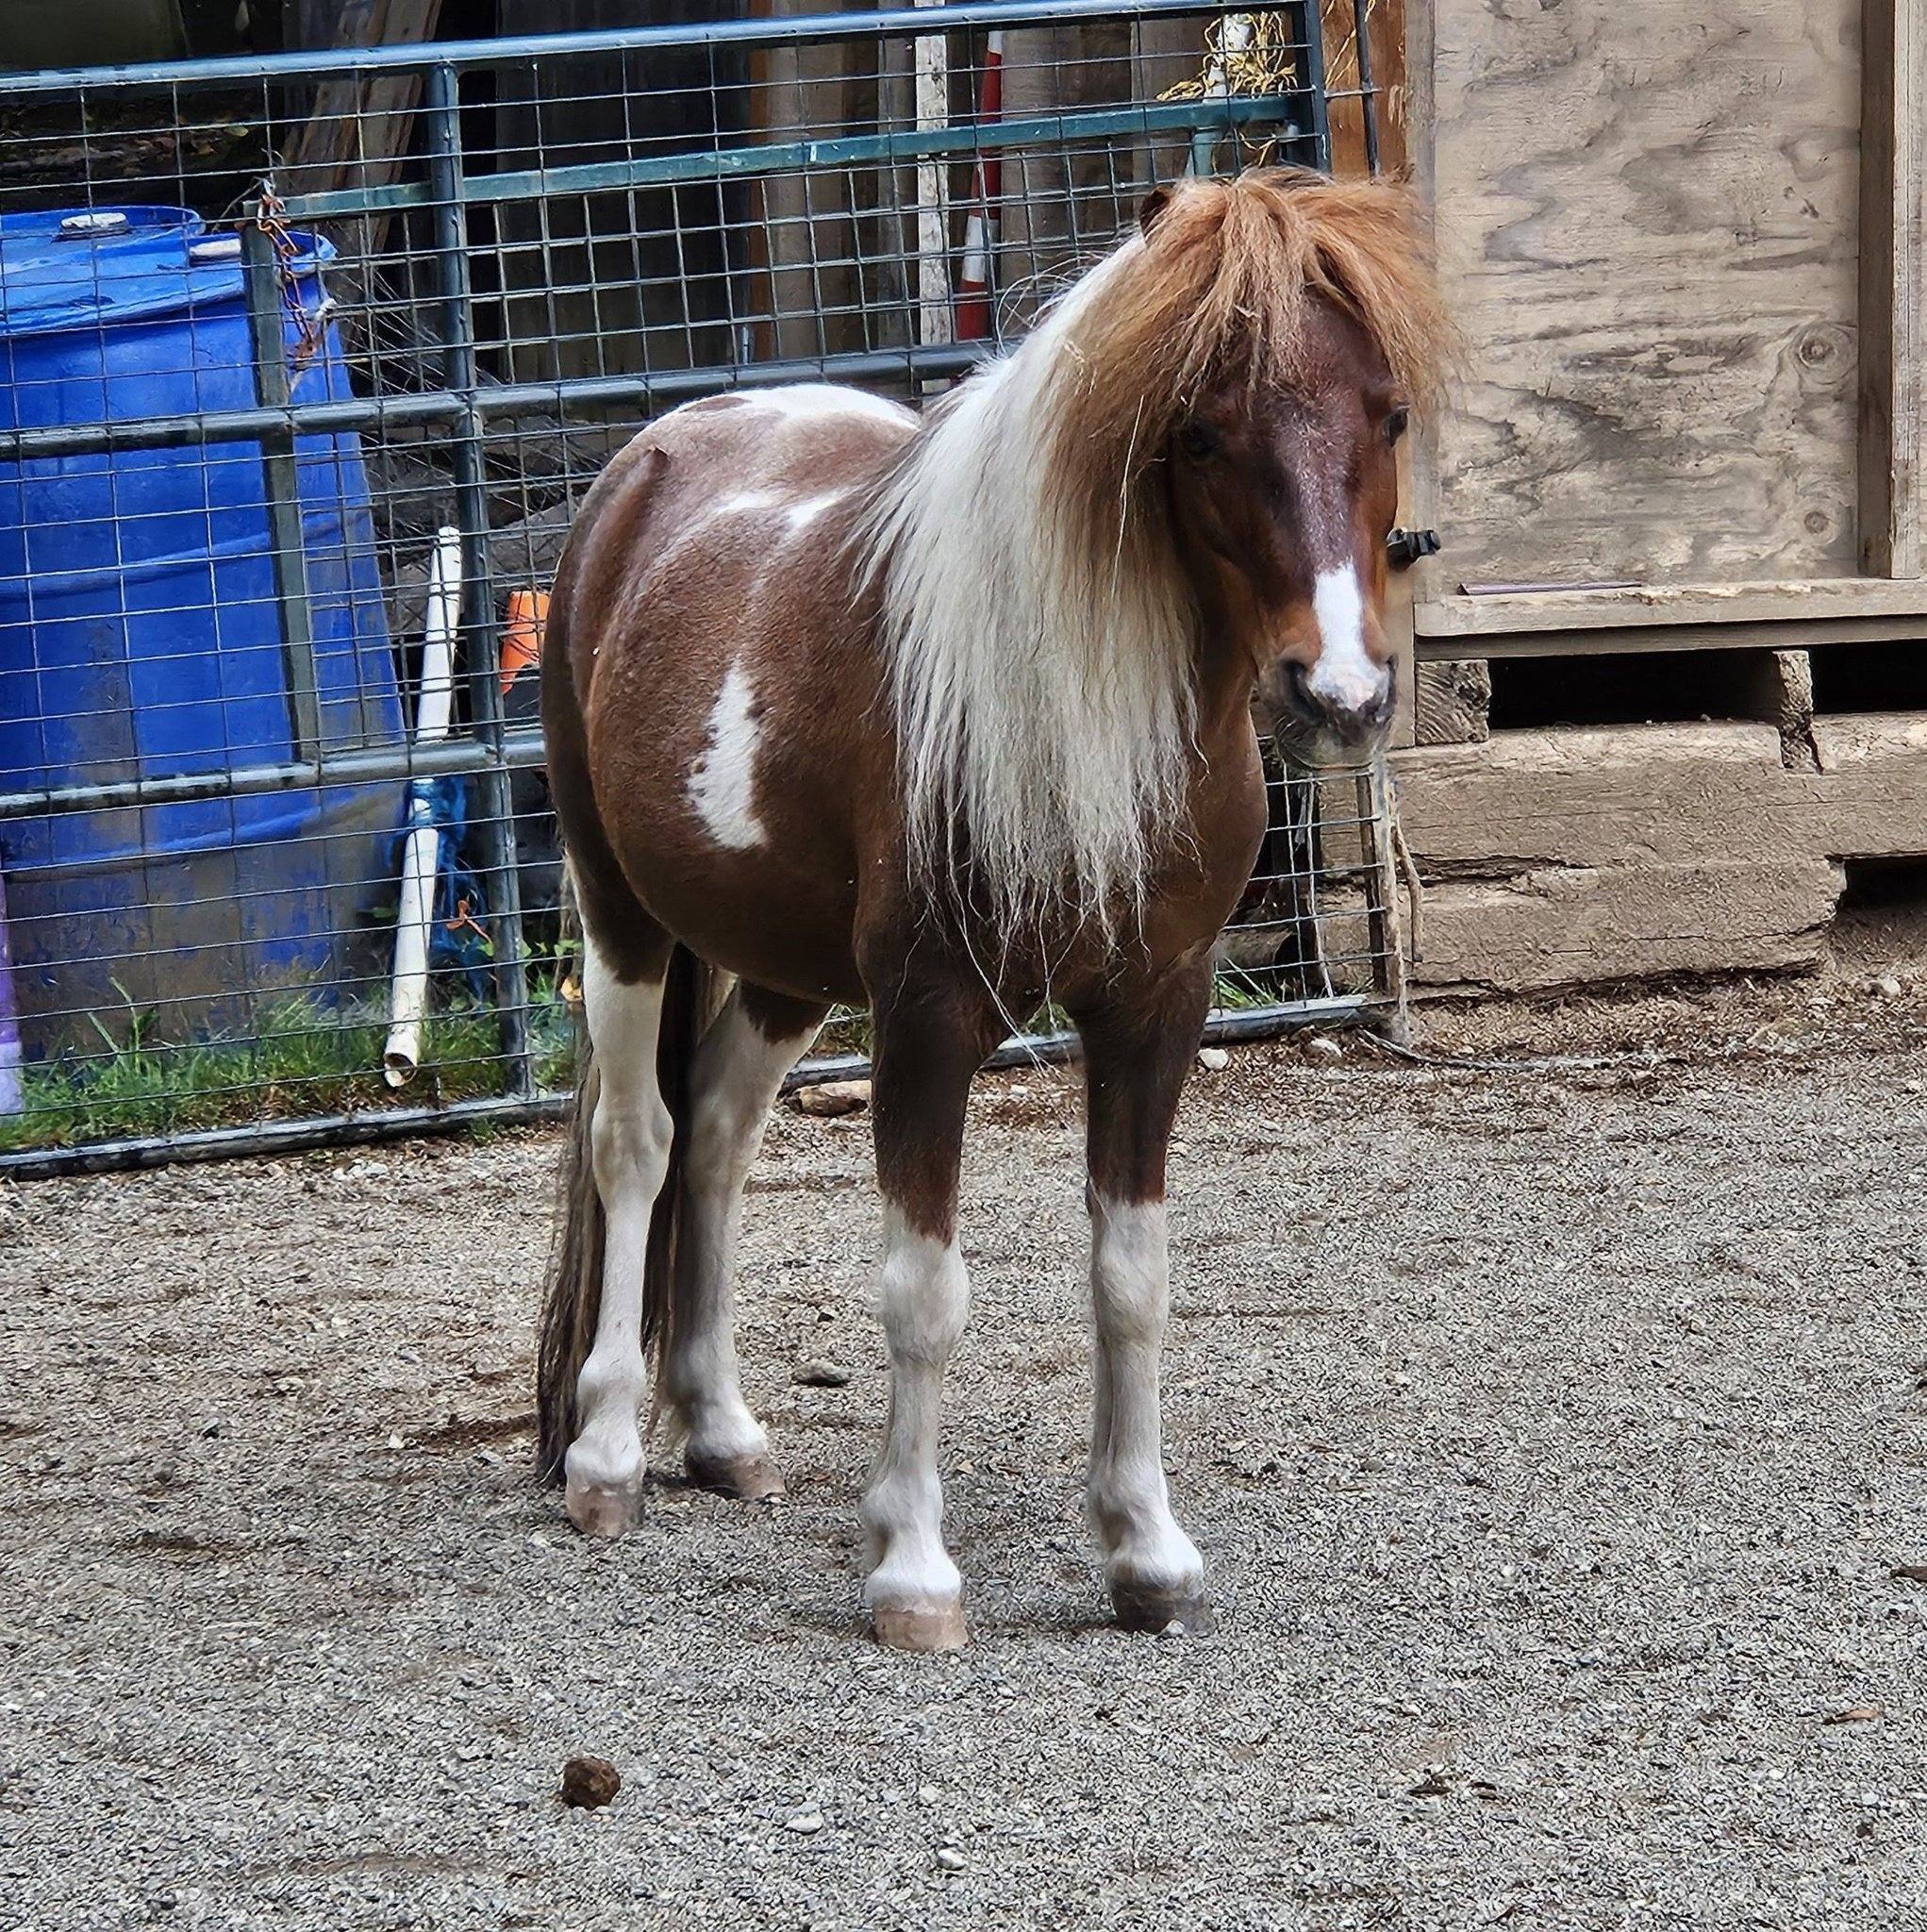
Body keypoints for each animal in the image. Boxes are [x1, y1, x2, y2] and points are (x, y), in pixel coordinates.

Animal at [534, 167, 1447, 1651]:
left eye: (1389, 412)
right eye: (1200, 430)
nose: (1342, 691)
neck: (1074, 709)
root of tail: (655, 456)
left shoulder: (1154, 1006)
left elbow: (1129, 1276)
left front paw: (1143, 1548)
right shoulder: (929, 1015)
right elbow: (922, 1293)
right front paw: (912, 1569)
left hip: (780, 963)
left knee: (717, 1134)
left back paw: (720, 1433)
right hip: (624, 914)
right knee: (640, 1145)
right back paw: (607, 1458)